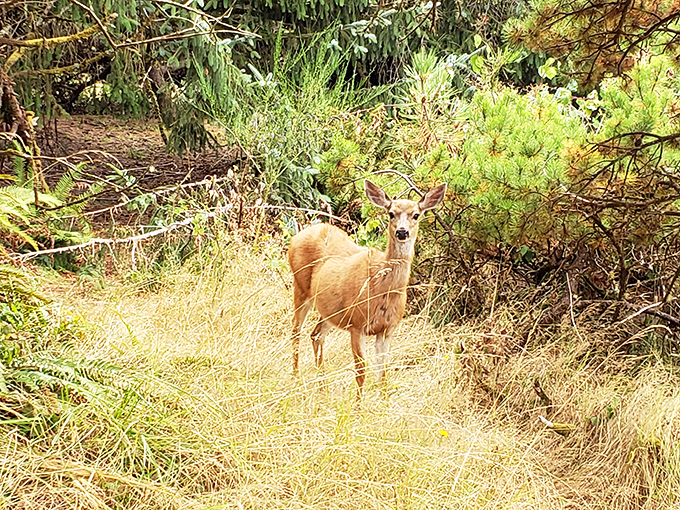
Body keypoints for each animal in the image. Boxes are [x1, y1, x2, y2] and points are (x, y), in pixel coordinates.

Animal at [287, 179, 447, 396]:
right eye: (391, 213)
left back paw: (323, 387)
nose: (402, 232)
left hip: (329, 310)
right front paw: (358, 404)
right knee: (296, 331)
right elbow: (361, 371)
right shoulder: (357, 323)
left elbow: (383, 373)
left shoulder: (387, 329)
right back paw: (296, 379)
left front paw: (383, 401)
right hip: (300, 287)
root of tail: (298, 236)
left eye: (416, 214)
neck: (383, 288)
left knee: (316, 335)